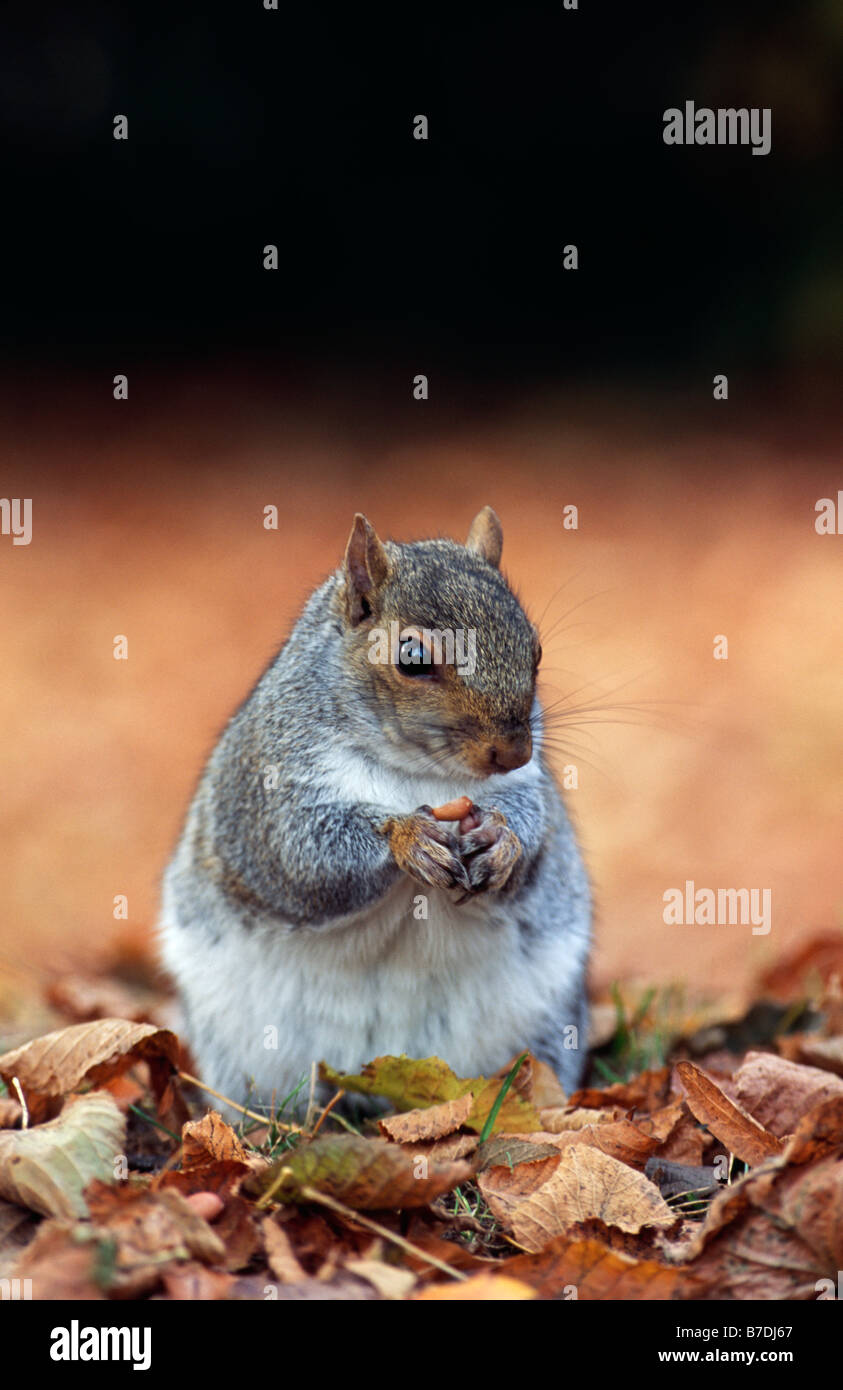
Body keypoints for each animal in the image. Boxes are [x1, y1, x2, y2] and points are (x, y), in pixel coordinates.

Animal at [159, 507, 591, 1114]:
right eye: (412, 658)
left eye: (535, 650)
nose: (514, 751)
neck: (414, 770)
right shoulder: (270, 789)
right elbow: (301, 856)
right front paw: (407, 837)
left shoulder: (526, 789)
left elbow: (531, 834)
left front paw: (502, 843)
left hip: (543, 1024)